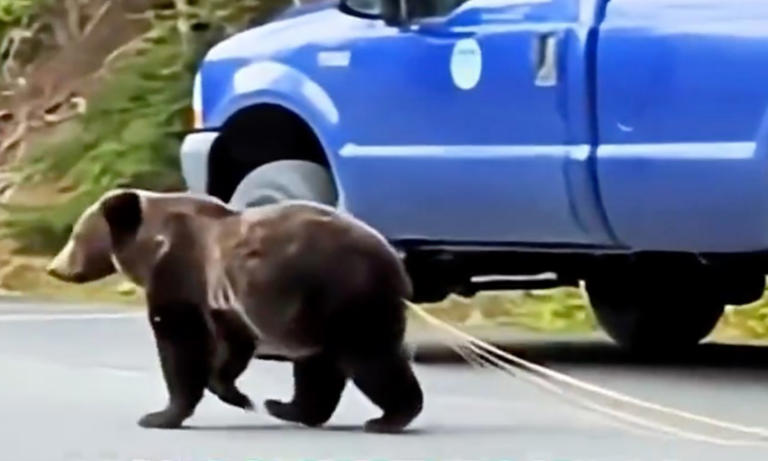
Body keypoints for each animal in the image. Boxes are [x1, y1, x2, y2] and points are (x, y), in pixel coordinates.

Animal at [46, 188, 424, 433]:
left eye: (76, 235)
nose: (54, 267)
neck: (152, 247)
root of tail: (396, 264)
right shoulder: (224, 298)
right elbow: (230, 346)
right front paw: (236, 394)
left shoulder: (180, 275)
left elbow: (180, 343)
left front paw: (159, 415)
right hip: (310, 313)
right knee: (319, 365)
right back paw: (286, 407)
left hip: (342, 297)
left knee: (370, 359)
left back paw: (389, 417)